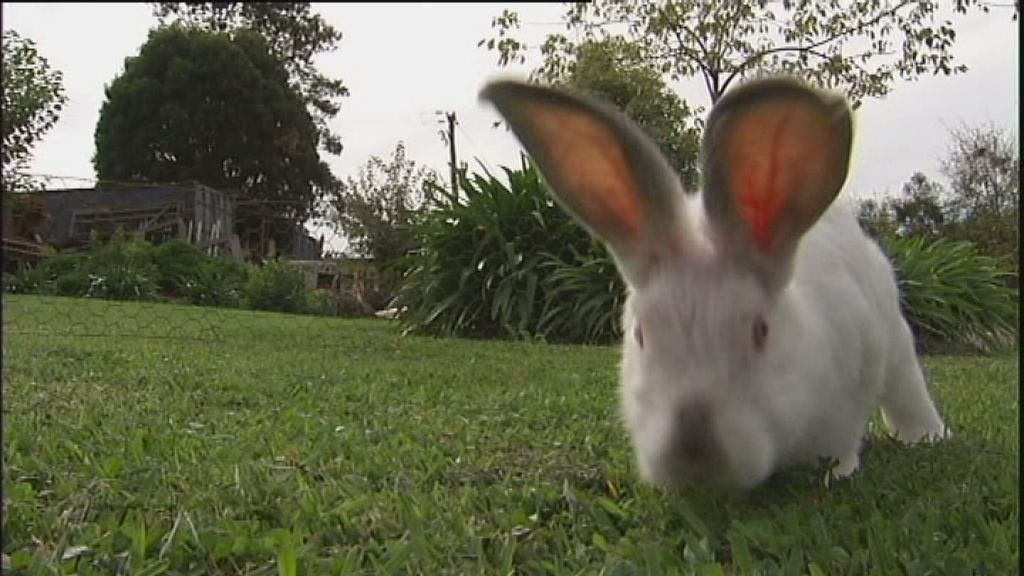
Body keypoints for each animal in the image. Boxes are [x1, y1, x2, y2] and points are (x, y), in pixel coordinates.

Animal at [478, 75, 950, 490]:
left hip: (895, 340)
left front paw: (838, 472)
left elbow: (841, 446)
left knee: (907, 388)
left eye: (760, 332)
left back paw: (928, 436)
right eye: (640, 335)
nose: (694, 452)